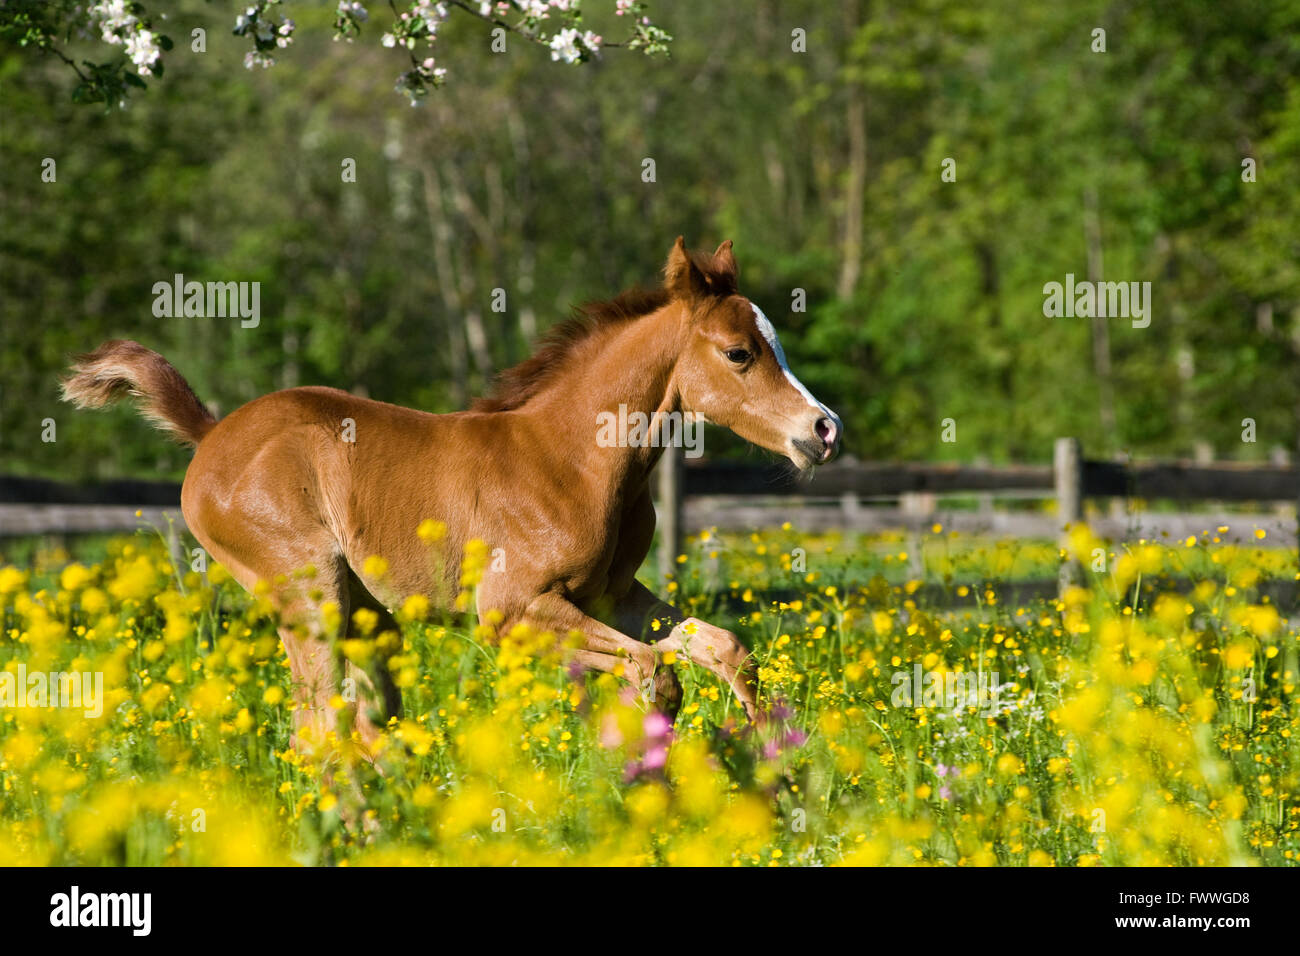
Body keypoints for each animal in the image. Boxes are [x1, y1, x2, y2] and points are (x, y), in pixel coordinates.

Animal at [61, 237, 842, 757]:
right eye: (740, 353)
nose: (824, 429)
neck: (573, 460)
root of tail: (212, 434)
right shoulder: (513, 613)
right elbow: (655, 672)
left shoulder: (612, 596)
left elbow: (721, 649)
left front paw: (768, 755)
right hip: (308, 595)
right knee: (316, 727)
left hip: (367, 618)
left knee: (363, 720)